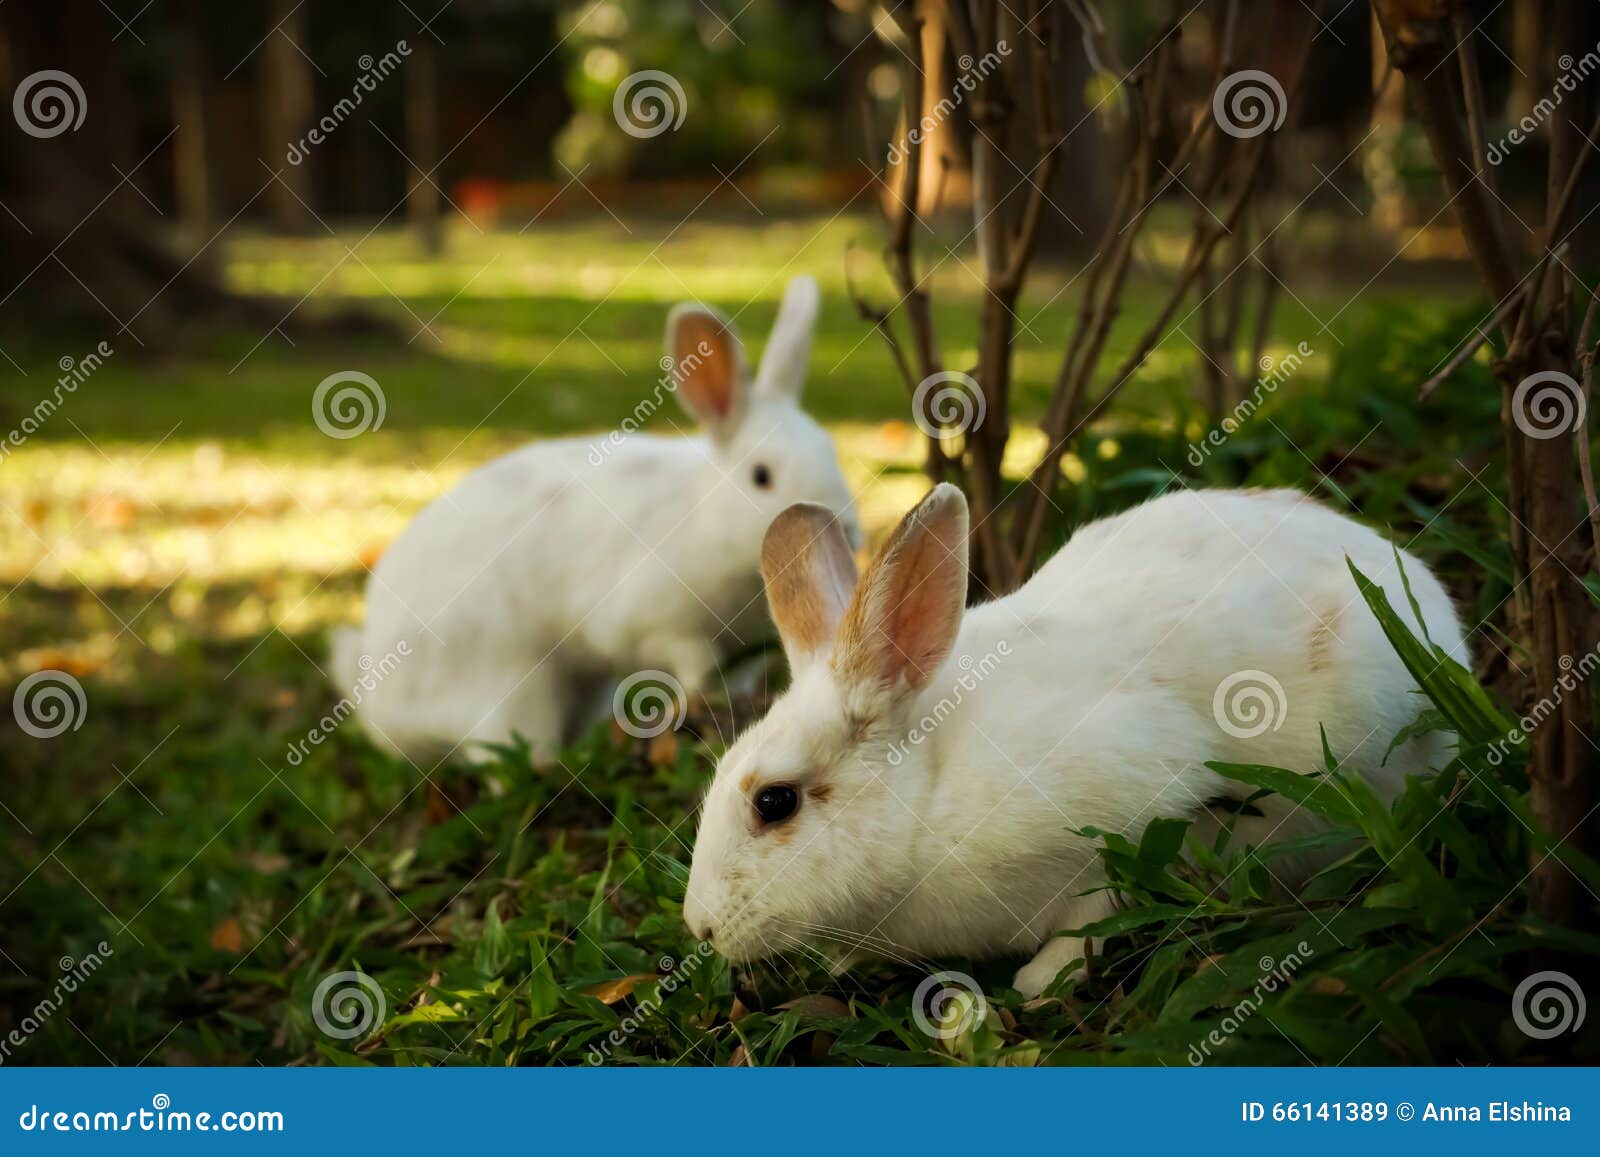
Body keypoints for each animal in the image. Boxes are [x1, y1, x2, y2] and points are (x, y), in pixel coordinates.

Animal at [331, 275, 862, 764]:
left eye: (832, 451)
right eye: (761, 476)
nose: (848, 528)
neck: (703, 517)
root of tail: (381, 707)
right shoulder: (653, 625)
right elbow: (690, 664)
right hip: (514, 686)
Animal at [683, 483, 1464, 998]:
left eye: (775, 802)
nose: (701, 929)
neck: (928, 789)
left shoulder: (1133, 813)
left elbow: (1095, 910)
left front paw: (1038, 979)